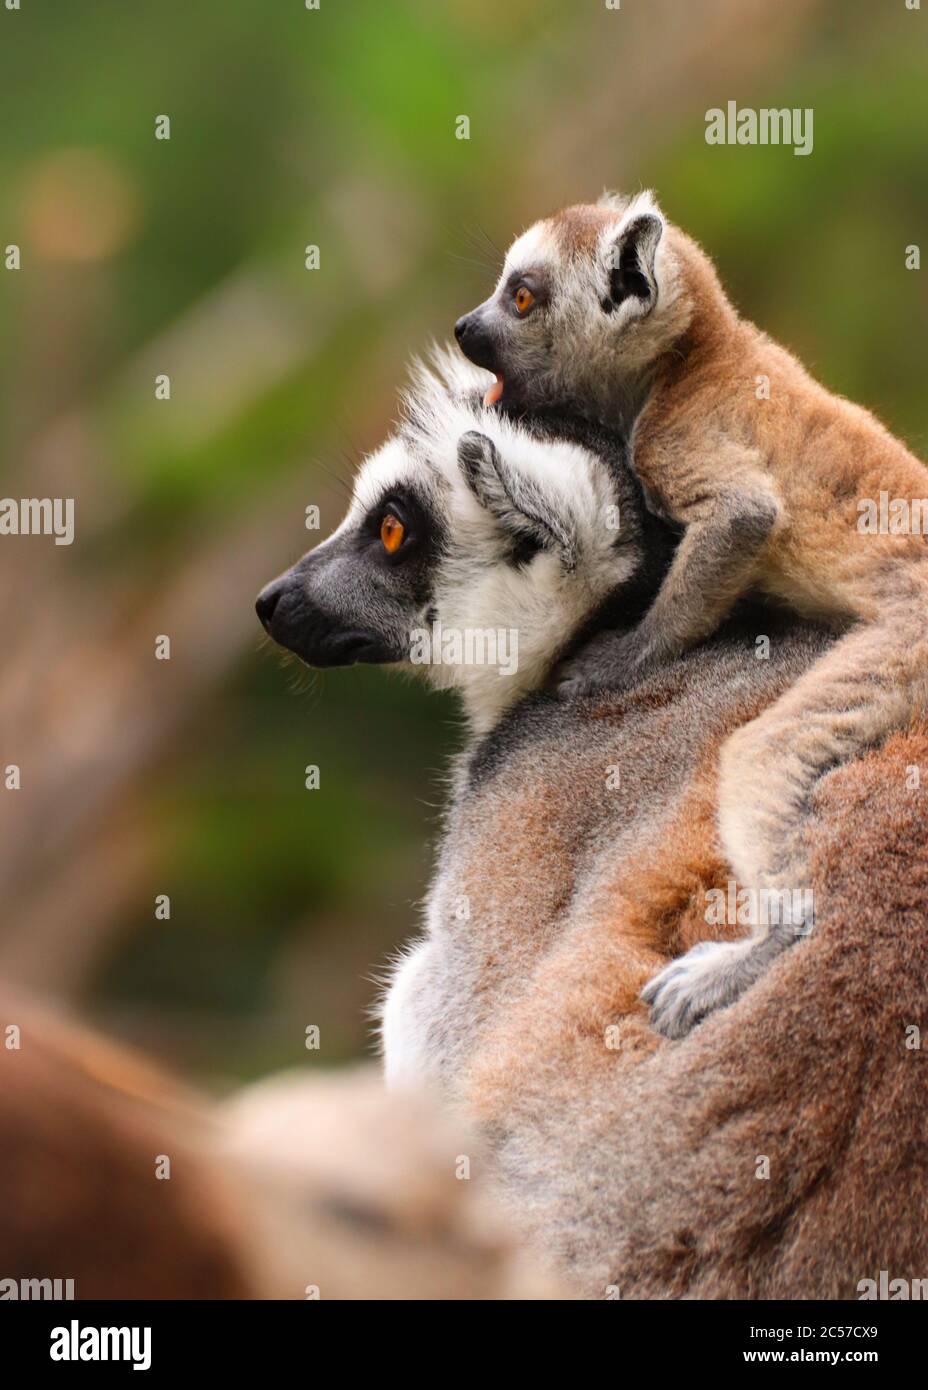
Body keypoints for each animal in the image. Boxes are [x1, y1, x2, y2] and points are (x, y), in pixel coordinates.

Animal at [453, 191, 928, 1036]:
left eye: (522, 298)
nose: (463, 328)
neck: (693, 357)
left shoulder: (676, 434)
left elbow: (744, 516)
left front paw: (622, 659)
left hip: (909, 644)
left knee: (765, 751)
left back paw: (763, 947)